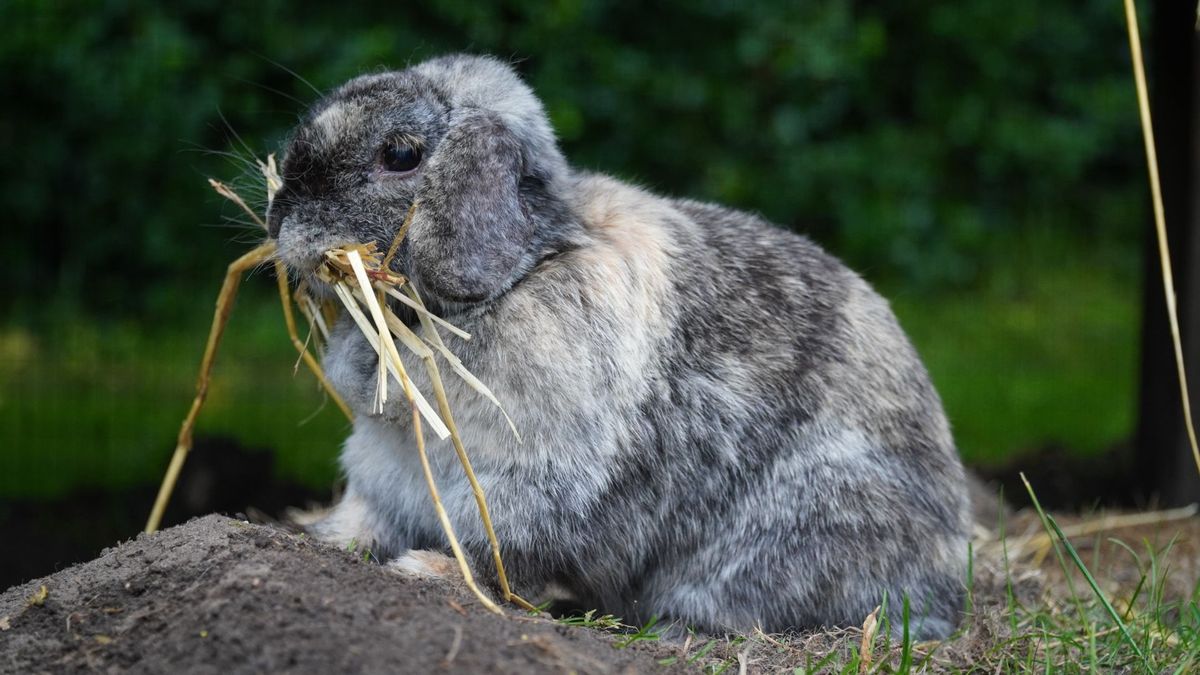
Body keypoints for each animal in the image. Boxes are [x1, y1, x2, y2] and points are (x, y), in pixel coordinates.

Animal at [267, 54, 970, 640]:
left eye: (401, 154)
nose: (280, 212)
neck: (525, 271)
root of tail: (945, 581)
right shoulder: (383, 465)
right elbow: (365, 514)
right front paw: (323, 539)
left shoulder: (531, 488)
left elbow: (501, 557)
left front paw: (425, 573)